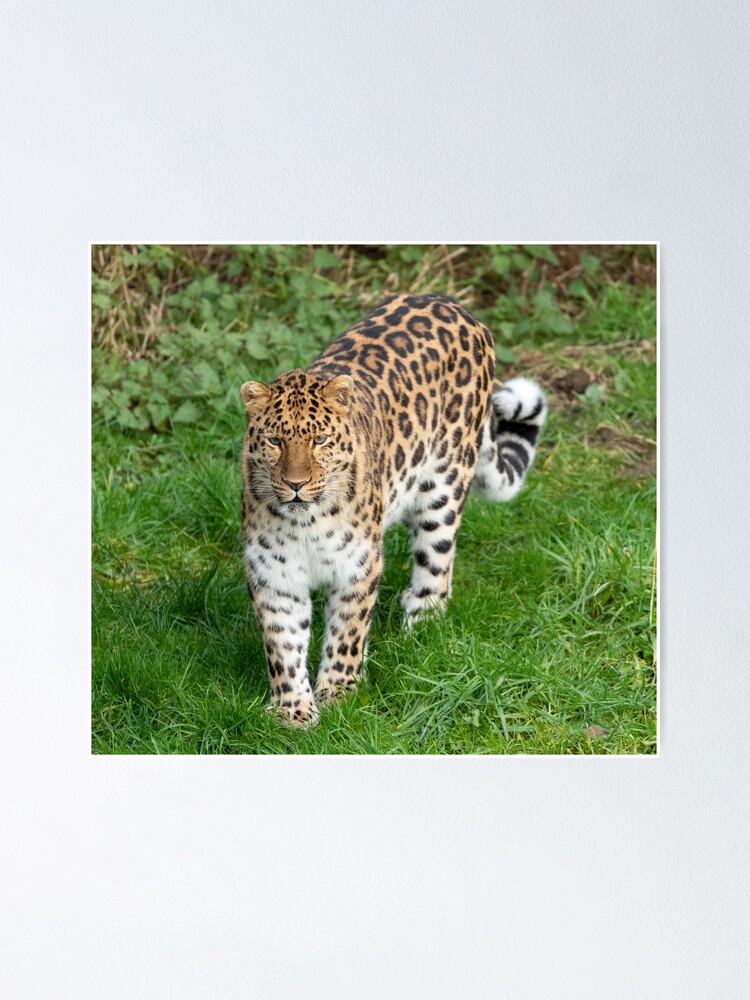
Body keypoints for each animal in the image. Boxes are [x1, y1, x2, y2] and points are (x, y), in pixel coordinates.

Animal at [240, 293, 547, 726]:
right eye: (273, 441)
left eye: (320, 440)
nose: (295, 484)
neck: (307, 523)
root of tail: (455, 305)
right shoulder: (275, 578)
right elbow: (283, 647)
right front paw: (293, 710)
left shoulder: (358, 567)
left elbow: (347, 633)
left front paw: (339, 695)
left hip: (443, 487)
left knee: (437, 561)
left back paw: (422, 623)